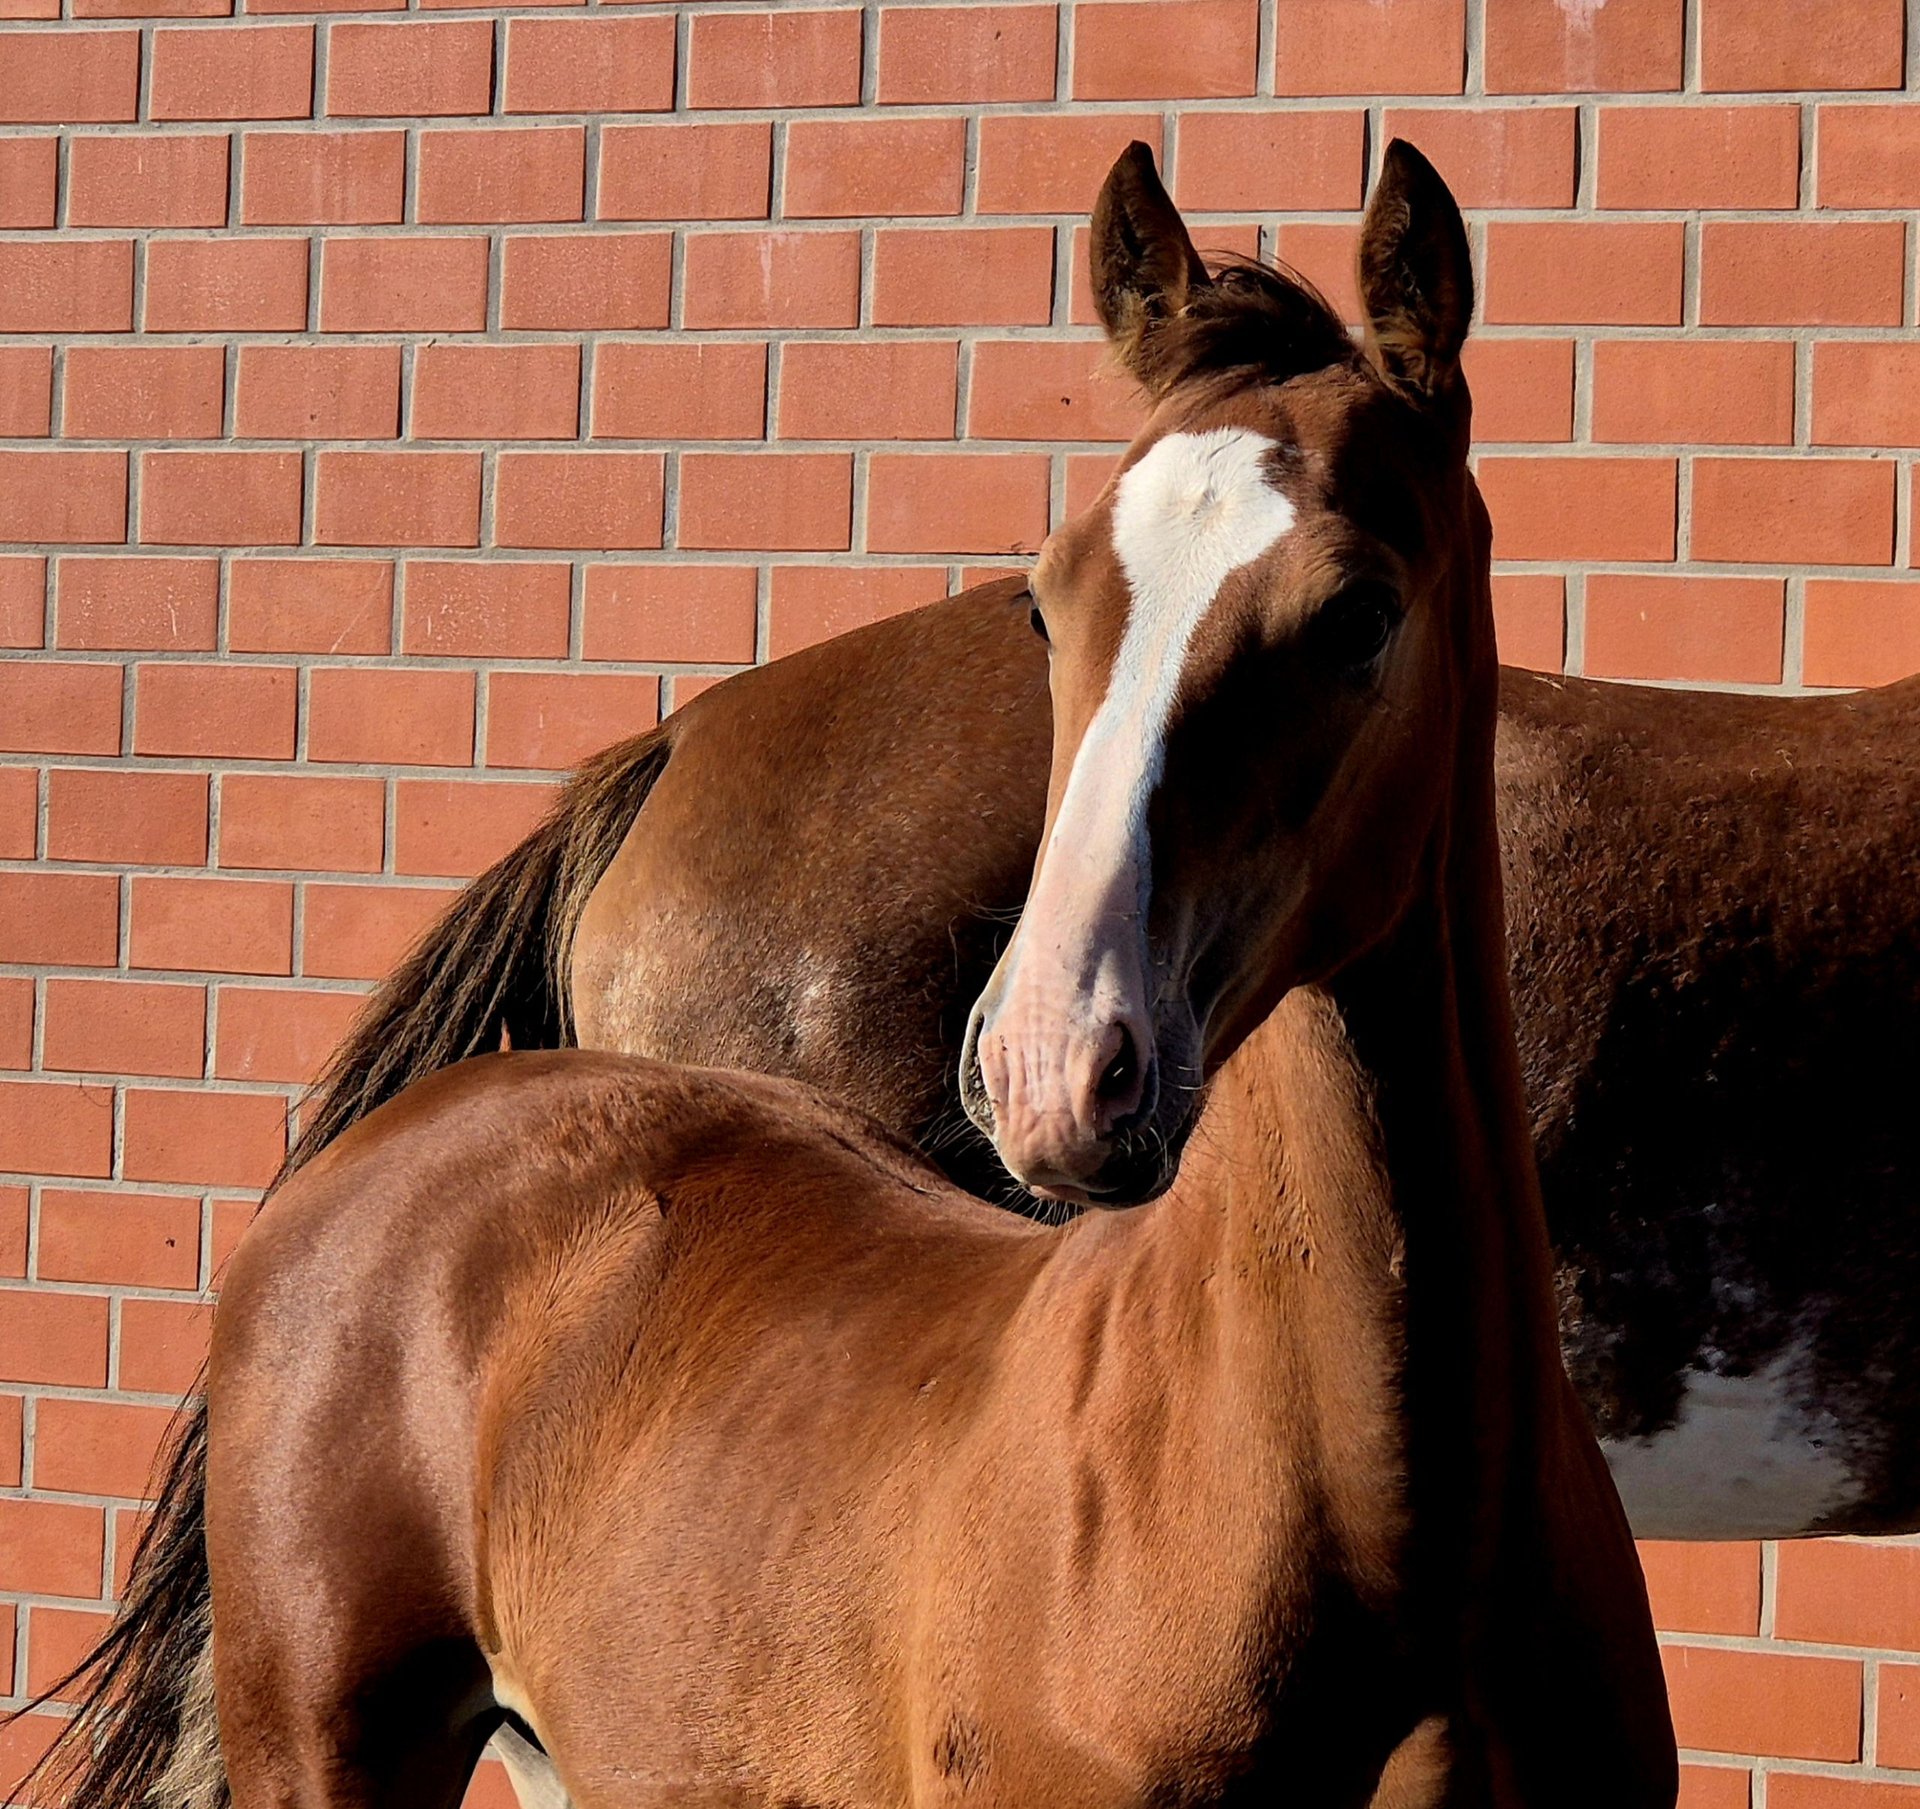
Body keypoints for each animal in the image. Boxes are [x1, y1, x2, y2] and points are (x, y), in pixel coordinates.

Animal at [25, 141, 1677, 1809]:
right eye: (1046, 597)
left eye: (1360, 615)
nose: (1051, 1065)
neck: (1394, 1531)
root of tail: (387, 1144)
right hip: (328, 1748)